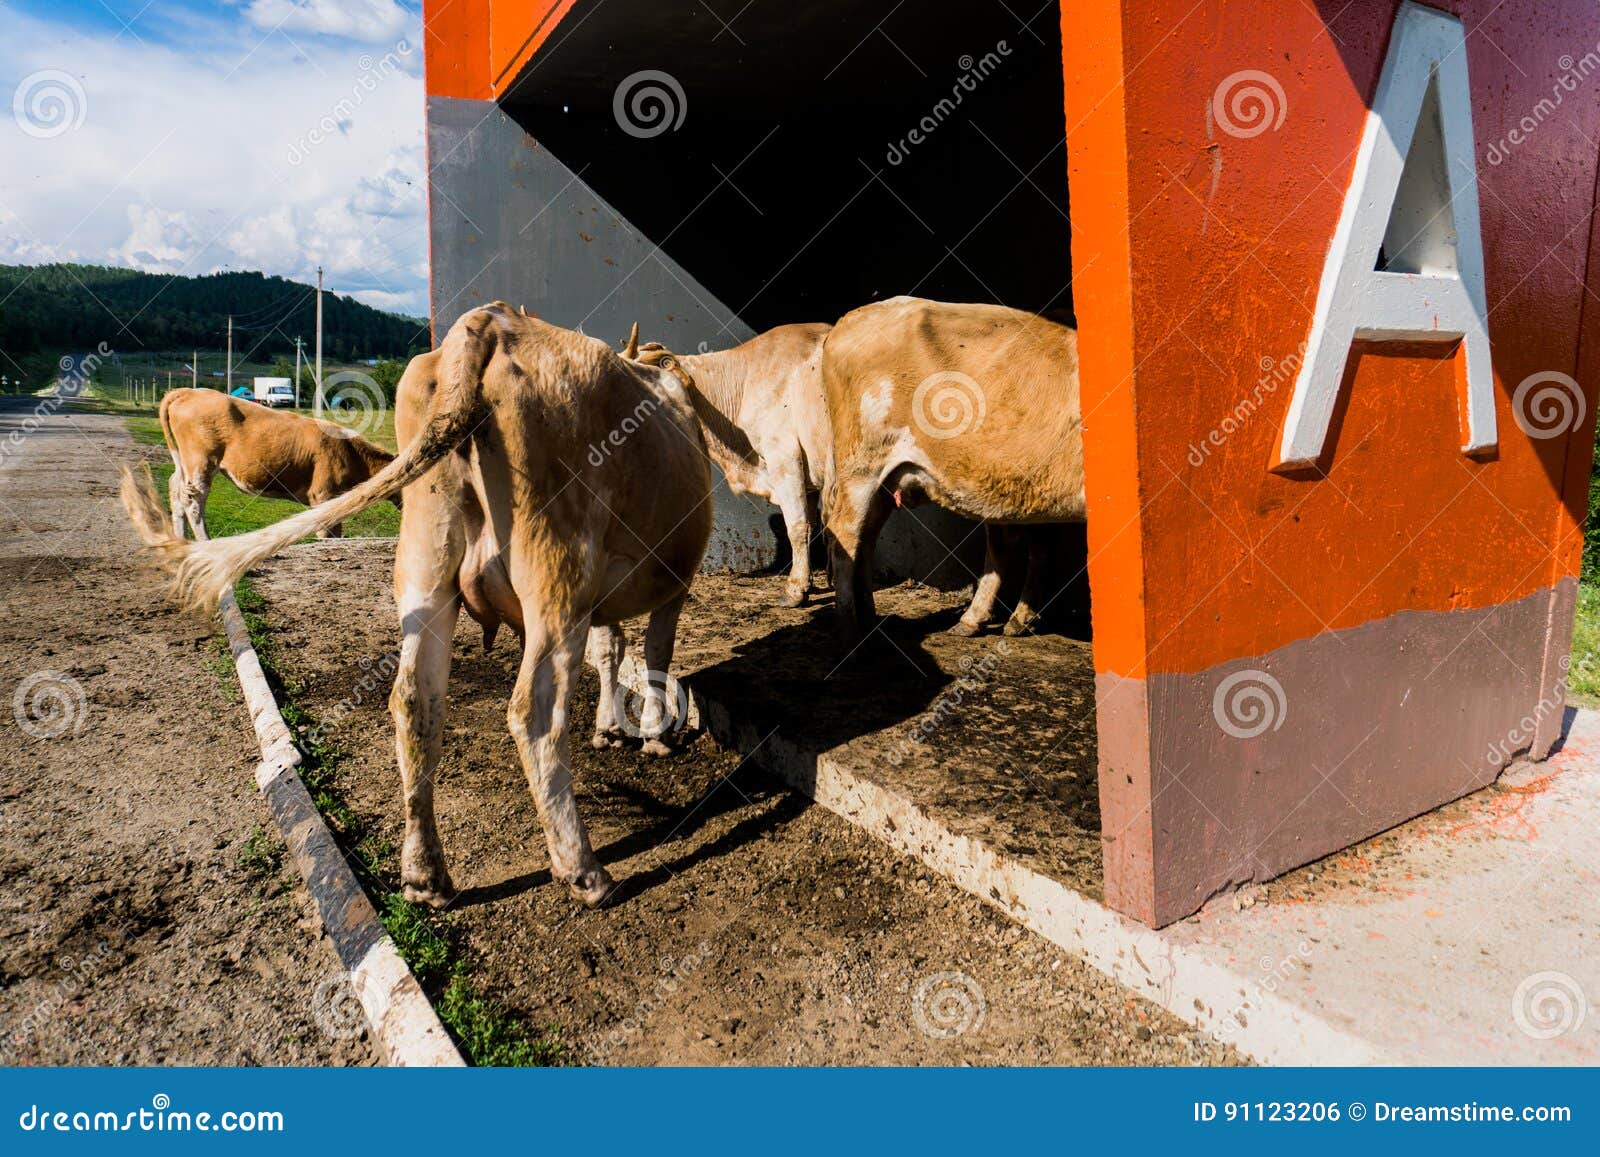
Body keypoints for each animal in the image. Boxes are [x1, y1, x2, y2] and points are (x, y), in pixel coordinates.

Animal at [157, 387, 396, 541]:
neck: (352, 454)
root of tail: (190, 391)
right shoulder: (323, 494)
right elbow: (328, 534)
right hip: (200, 462)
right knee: (193, 502)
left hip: (183, 464)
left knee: (176, 492)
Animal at [820, 297, 1084, 639]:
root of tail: (852, 317)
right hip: (861, 466)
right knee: (845, 534)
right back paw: (849, 625)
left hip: (886, 480)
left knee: (866, 538)